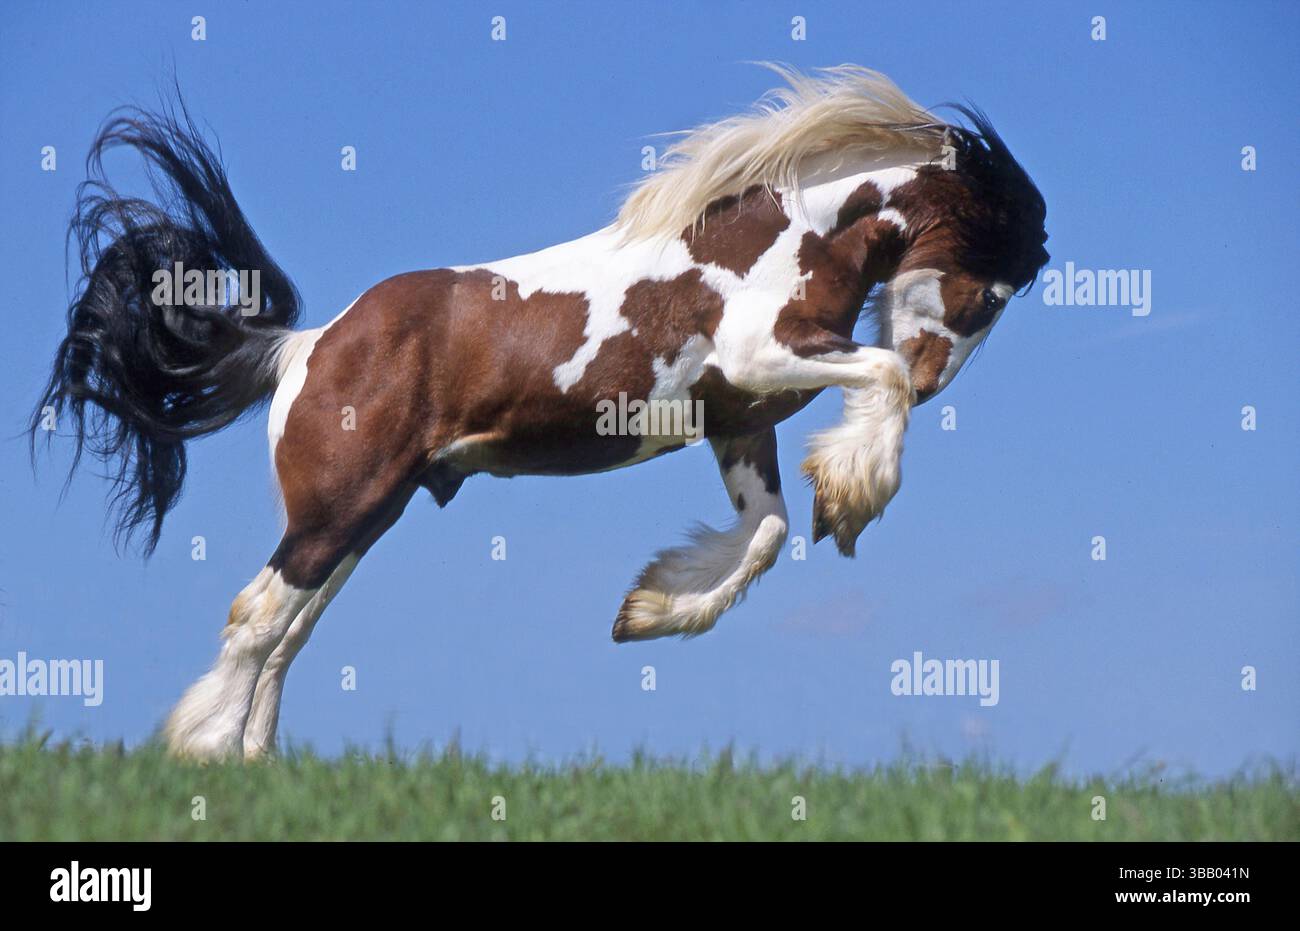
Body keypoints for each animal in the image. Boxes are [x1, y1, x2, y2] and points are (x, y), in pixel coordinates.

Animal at [32, 65, 1049, 760]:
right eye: (992, 292)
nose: (938, 381)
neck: (777, 238)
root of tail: (302, 347)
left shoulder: (738, 417)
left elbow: (765, 532)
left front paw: (648, 608)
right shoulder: (761, 356)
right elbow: (874, 379)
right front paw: (853, 490)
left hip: (368, 513)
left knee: (289, 632)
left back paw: (256, 764)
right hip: (337, 509)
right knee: (257, 619)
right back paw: (203, 757)